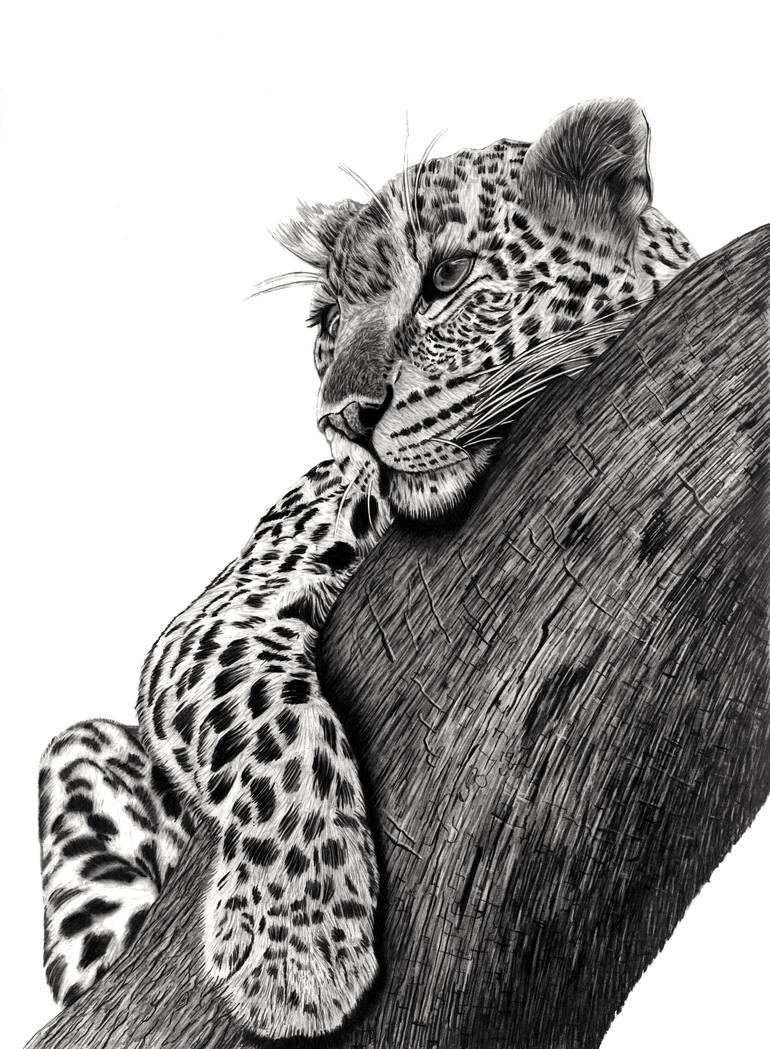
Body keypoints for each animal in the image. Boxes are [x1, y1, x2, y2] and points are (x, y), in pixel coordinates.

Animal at [37, 98, 697, 1039]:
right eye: (325, 327)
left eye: (450, 276)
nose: (342, 419)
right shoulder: (222, 609)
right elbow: (273, 724)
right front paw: (297, 951)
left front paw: (292, 948)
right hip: (81, 750)